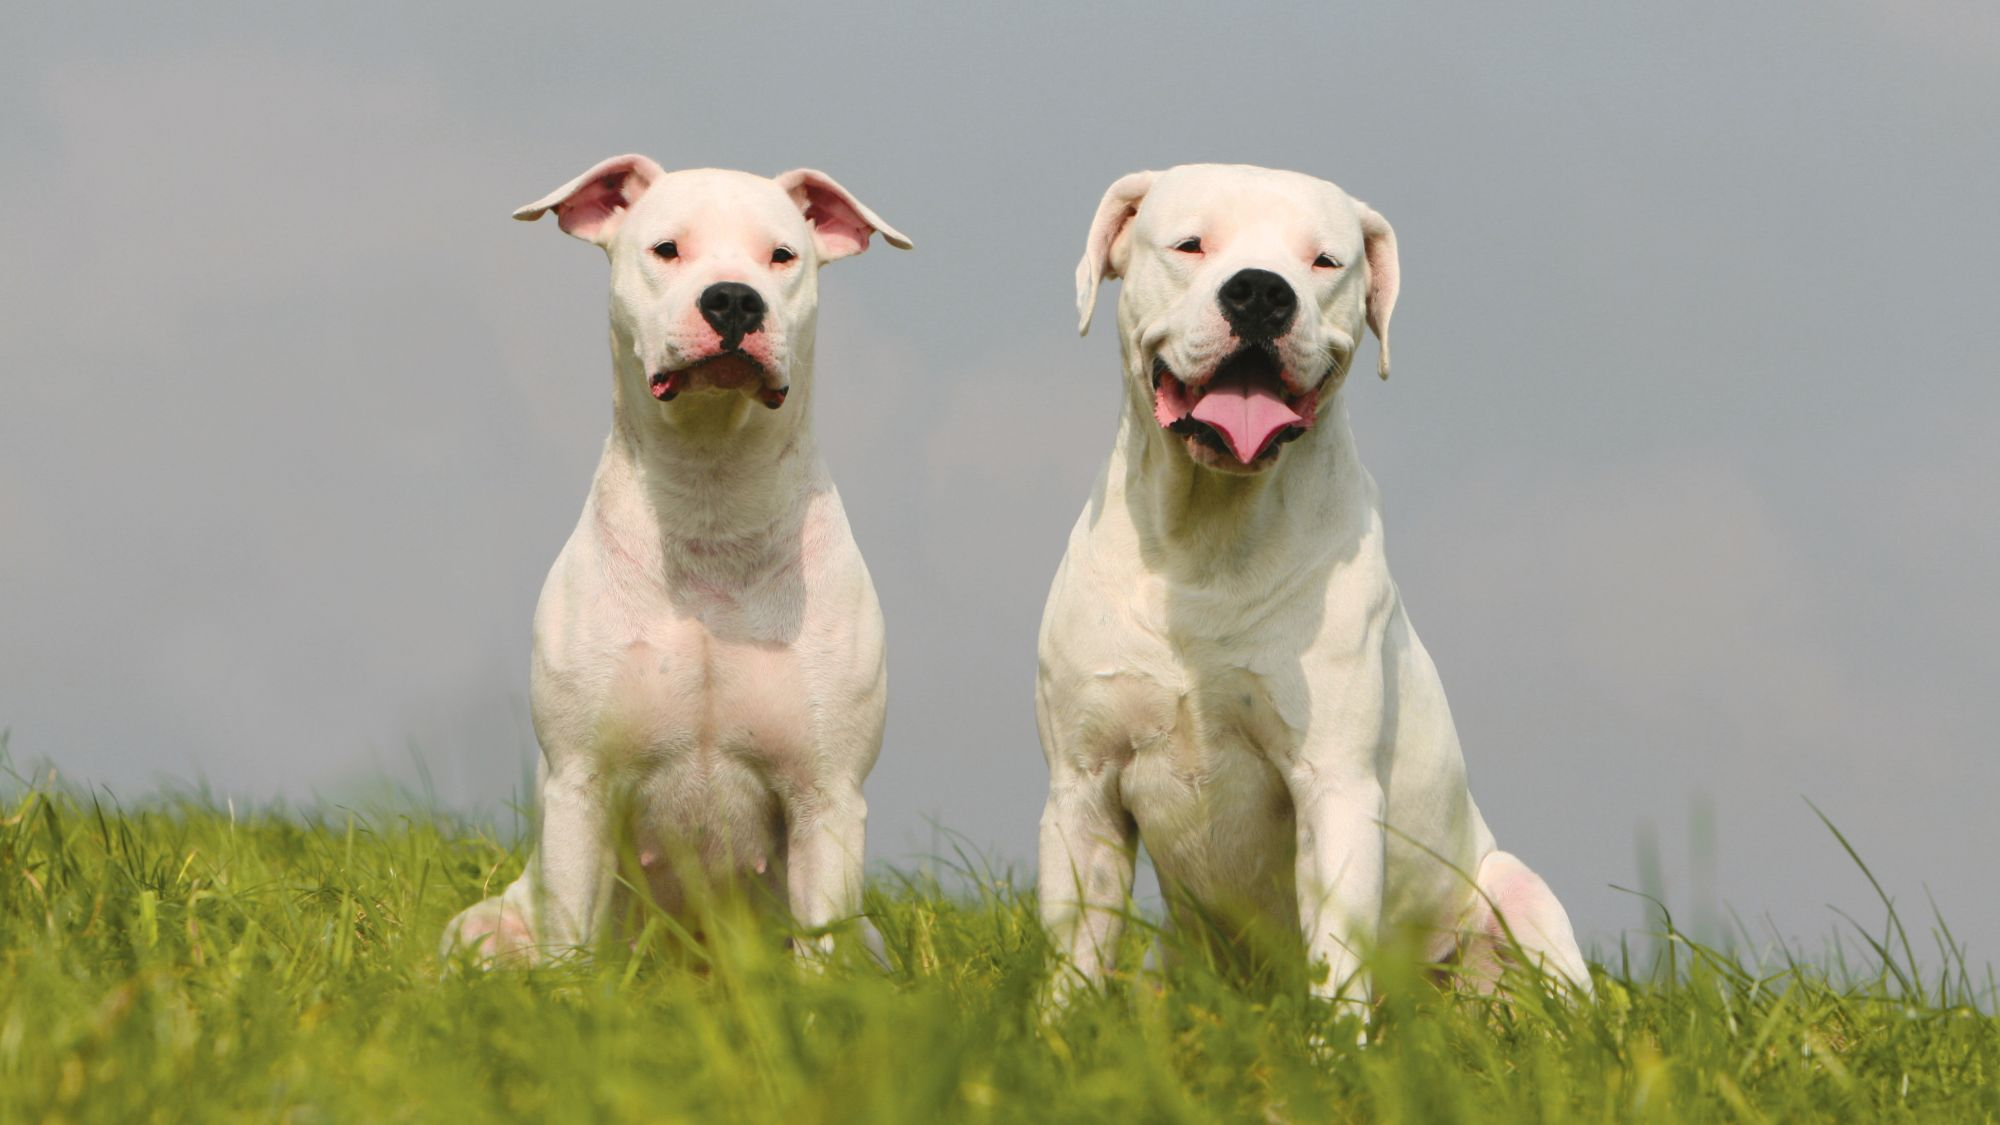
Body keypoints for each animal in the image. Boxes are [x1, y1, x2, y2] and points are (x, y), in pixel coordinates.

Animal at [442, 155, 912, 964]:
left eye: (782, 256)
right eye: (666, 249)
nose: (732, 300)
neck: (709, 497)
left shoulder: (827, 795)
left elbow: (820, 949)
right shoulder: (581, 782)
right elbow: (571, 940)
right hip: (476, 928)